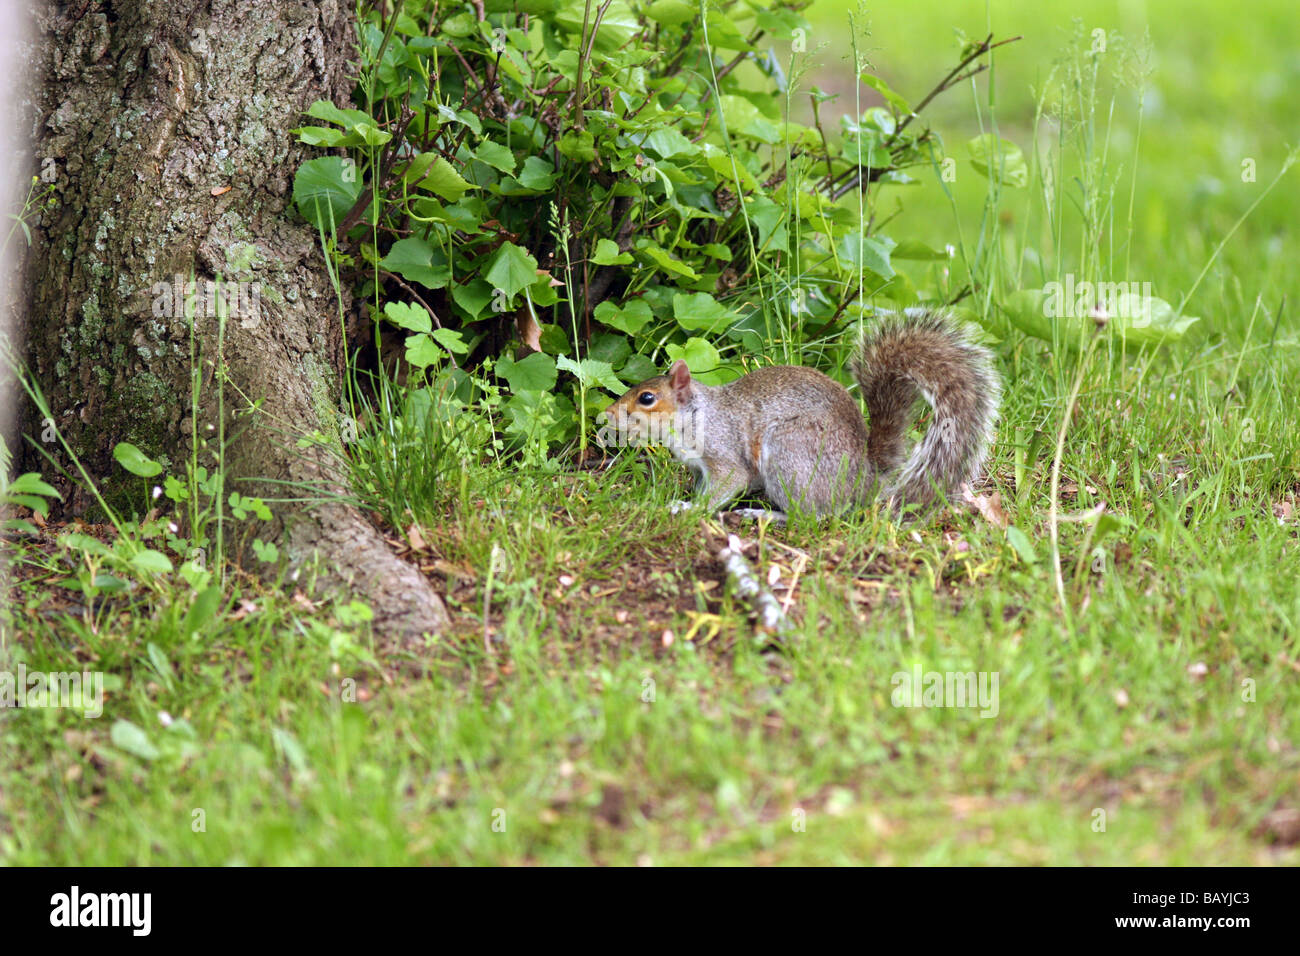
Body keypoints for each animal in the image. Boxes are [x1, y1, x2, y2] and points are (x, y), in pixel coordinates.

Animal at [601, 308, 1000, 518]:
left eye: (647, 398)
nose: (607, 414)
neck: (696, 416)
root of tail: (865, 478)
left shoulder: (724, 454)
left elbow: (727, 484)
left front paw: (688, 508)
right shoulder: (701, 465)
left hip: (790, 451)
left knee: (810, 516)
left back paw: (764, 513)